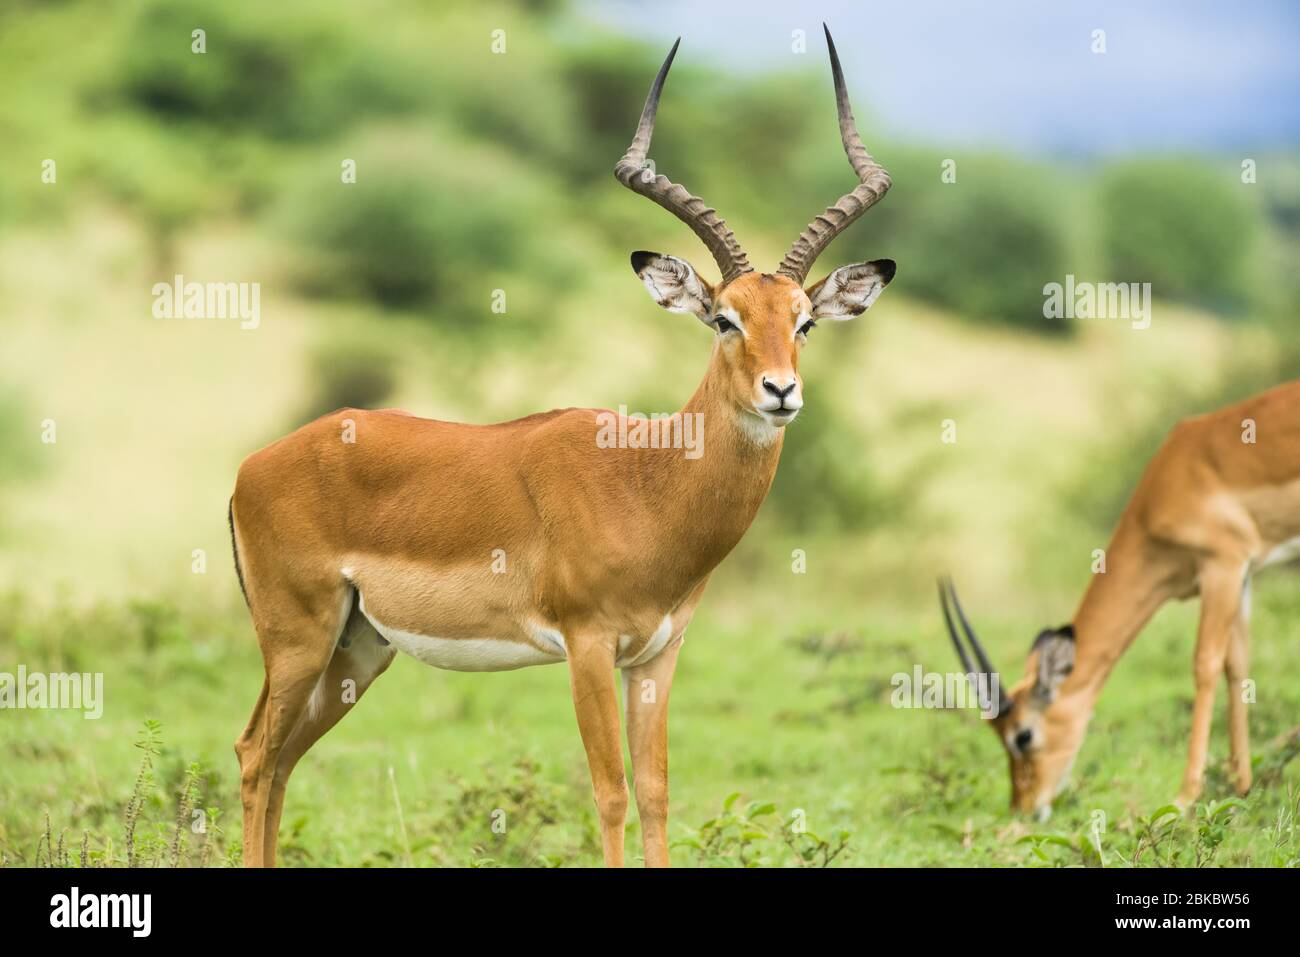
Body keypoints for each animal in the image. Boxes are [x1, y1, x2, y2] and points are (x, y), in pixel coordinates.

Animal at [229, 27, 895, 867]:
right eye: (724, 319)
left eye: (804, 320)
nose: (782, 391)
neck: (648, 480)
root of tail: (254, 465)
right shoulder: (587, 645)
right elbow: (609, 794)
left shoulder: (657, 654)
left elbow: (656, 793)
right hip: (299, 638)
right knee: (254, 754)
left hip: (358, 648)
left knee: (281, 760)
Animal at [940, 381, 1300, 819]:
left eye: (1022, 735)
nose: (1023, 808)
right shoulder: (1242, 574)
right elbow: (1238, 666)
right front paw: (1241, 787)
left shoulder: (1222, 566)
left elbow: (1205, 665)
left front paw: (1185, 796)